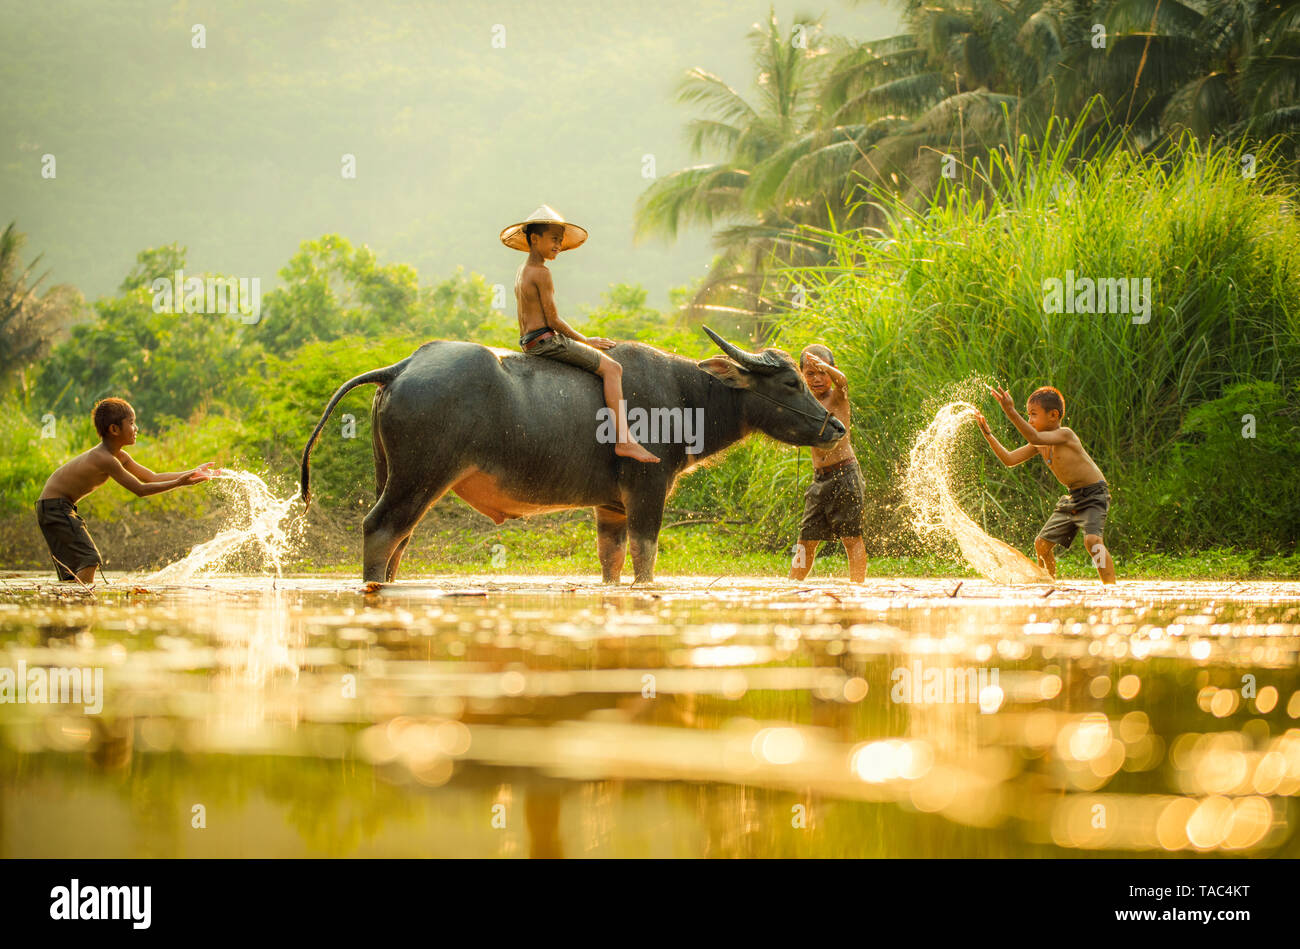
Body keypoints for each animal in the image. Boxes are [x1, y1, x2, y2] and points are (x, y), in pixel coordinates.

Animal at [300, 327, 845, 583]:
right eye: (791, 382)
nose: (836, 425)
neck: (686, 395)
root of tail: (403, 366)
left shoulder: (610, 505)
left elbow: (612, 562)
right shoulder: (647, 489)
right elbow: (645, 560)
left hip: (391, 474)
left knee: (400, 539)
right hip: (419, 476)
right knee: (380, 530)